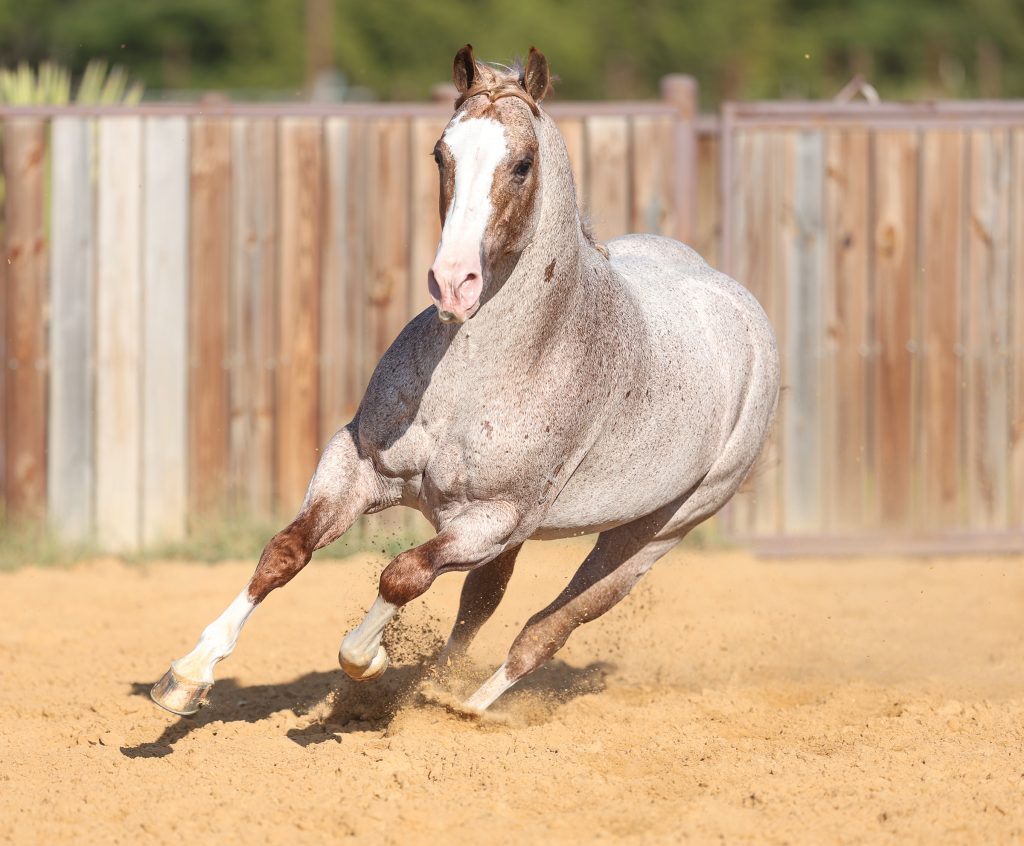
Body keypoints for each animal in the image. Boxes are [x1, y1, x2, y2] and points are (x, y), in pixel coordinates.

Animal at [151, 45, 780, 717]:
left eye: (523, 164)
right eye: (440, 153)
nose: (453, 282)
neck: (475, 379)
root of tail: (736, 300)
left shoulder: (490, 521)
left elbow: (402, 575)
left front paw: (368, 659)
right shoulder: (356, 464)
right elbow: (285, 552)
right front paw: (186, 676)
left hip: (655, 533)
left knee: (549, 628)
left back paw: (467, 709)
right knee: (480, 608)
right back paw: (429, 686)